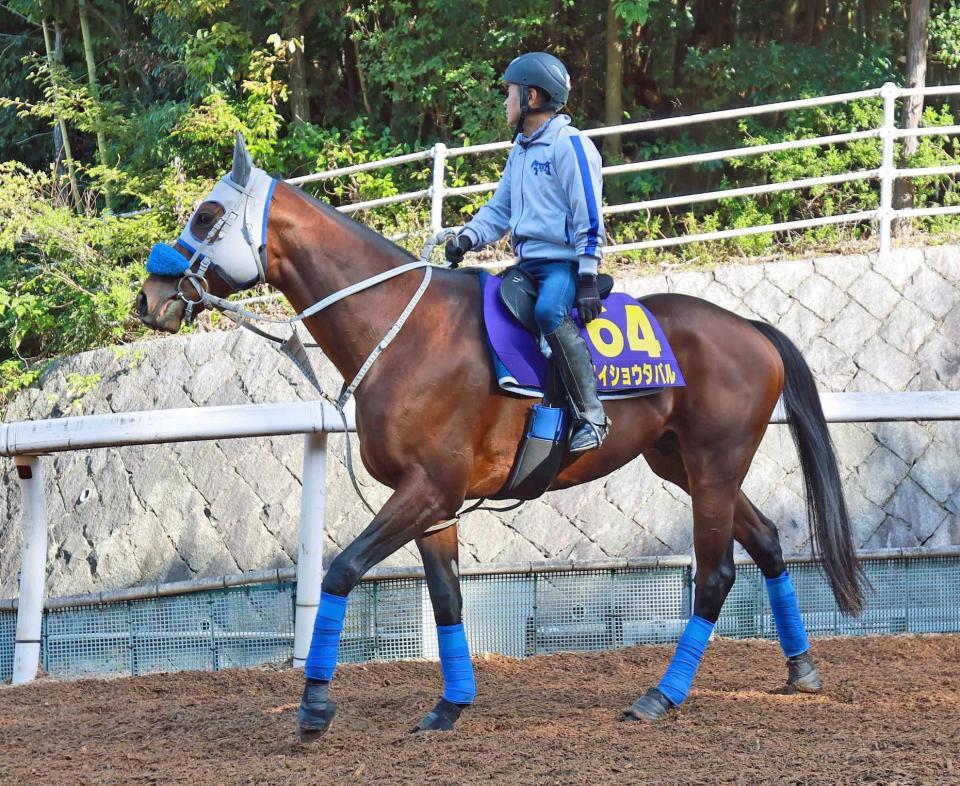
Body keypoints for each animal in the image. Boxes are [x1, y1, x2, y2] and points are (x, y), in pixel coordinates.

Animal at [136, 134, 864, 739]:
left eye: (206, 215)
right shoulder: (435, 505)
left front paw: (315, 705)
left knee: (715, 575)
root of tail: (750, 327)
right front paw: (449, 704)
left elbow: (342, 570)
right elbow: (447, 599)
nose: (148, 298)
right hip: (684, 464)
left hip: (712, 466)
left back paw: (661, 695)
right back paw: (800, 670)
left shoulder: (428, 490)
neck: (404, 331)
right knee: (766, 541)